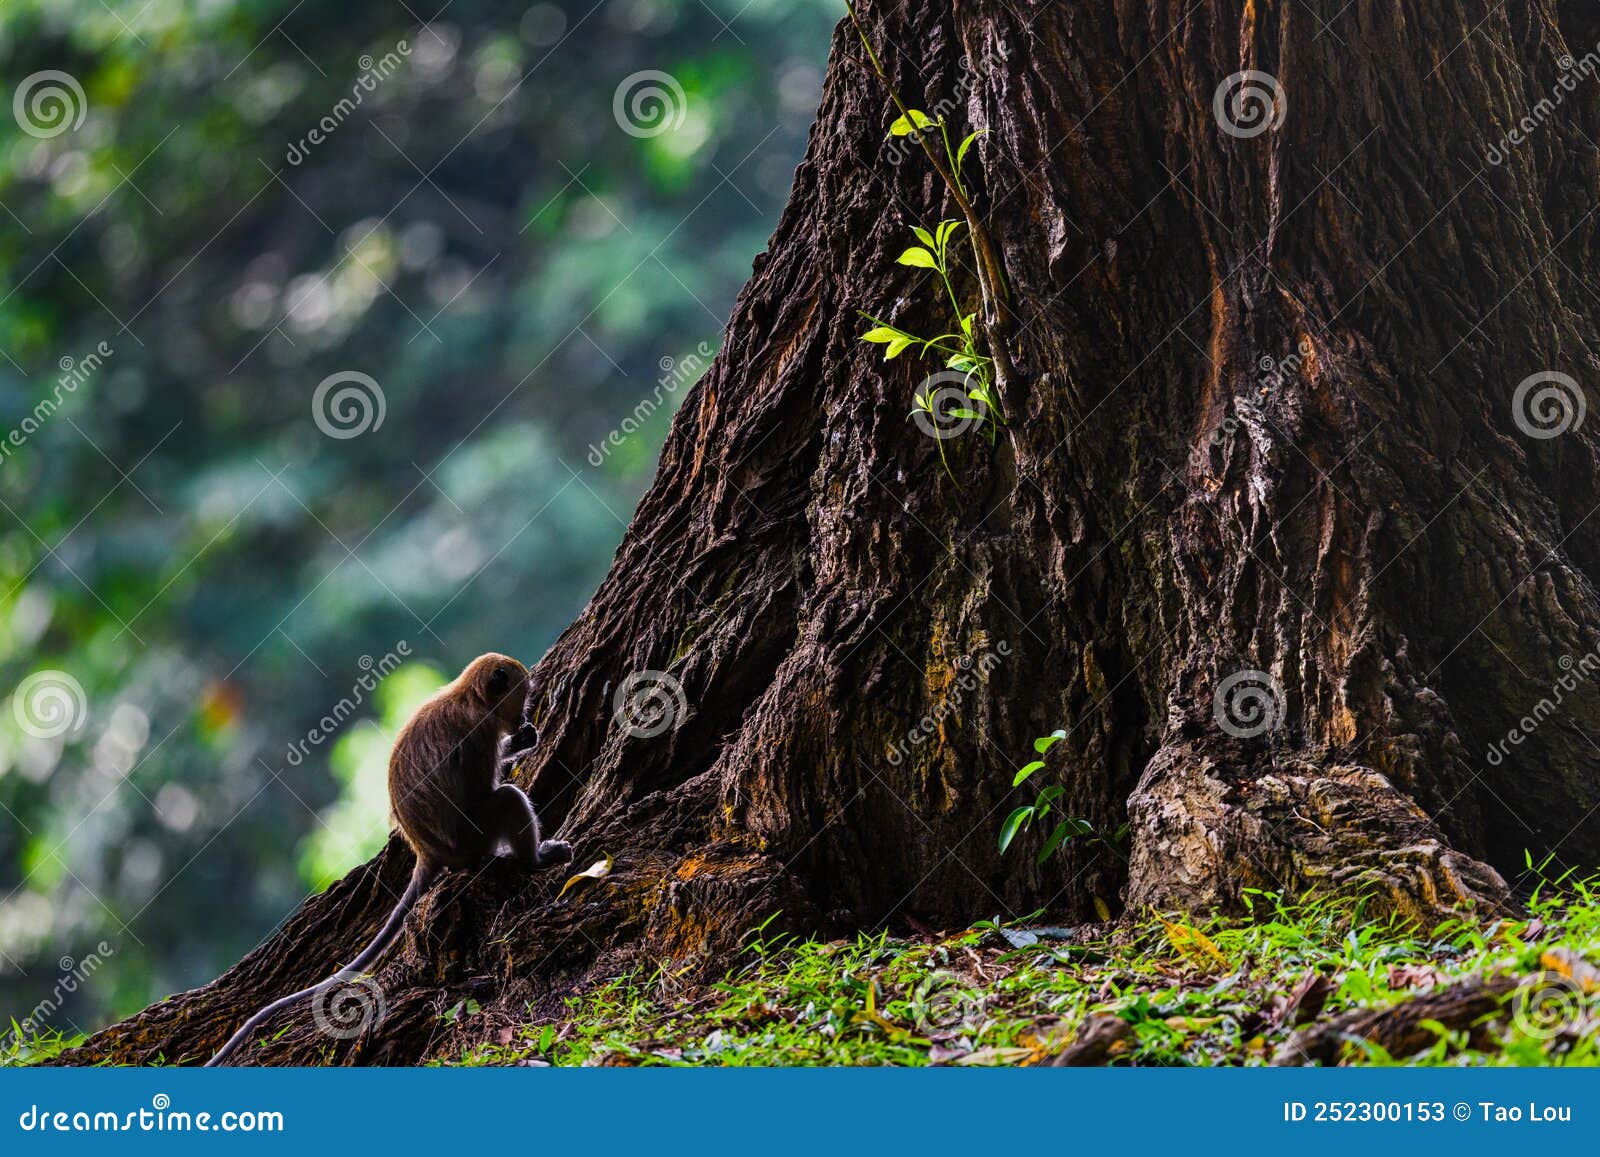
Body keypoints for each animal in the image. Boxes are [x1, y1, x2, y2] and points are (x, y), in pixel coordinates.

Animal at [206, 653, 571, 1066]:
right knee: (506, 799)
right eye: (520, 695)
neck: (468, 699)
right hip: (472, 841)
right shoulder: (477, 736)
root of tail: (427, 852)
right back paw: (534, 859)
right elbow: (483, 791)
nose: (522, 716)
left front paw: (522, 739)